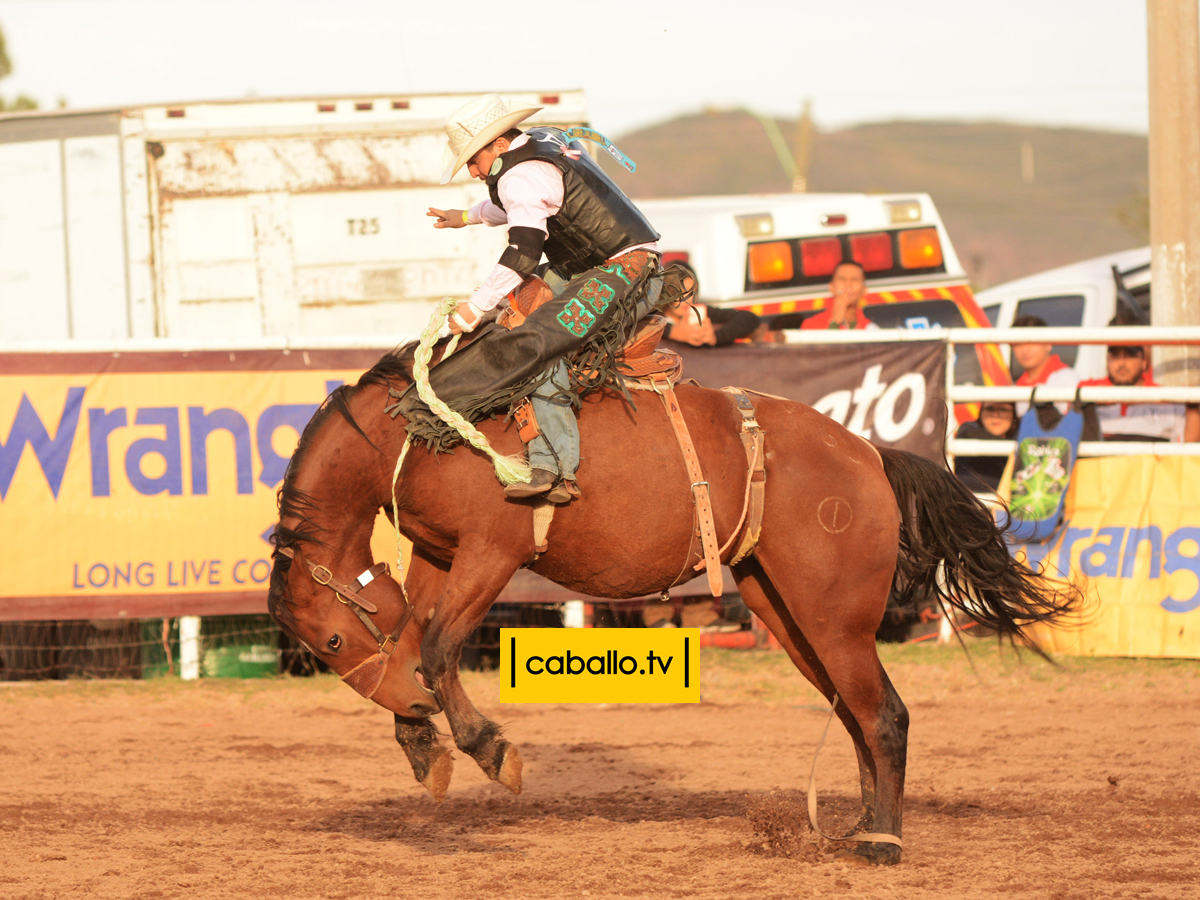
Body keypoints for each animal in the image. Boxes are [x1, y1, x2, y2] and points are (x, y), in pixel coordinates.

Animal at [267, 335, 1078, 866]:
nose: (405, 706)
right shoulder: (440, 553)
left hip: (834, 618)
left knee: (885, 714)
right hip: (787, 613)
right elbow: (417, 639)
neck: (412, 429)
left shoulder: (493, 550)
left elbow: (435, 646)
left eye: (332, 643)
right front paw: (422, 746)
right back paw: (862, 829)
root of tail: (869, 455)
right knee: (857, 713)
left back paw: (883, 845)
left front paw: (489, 750)